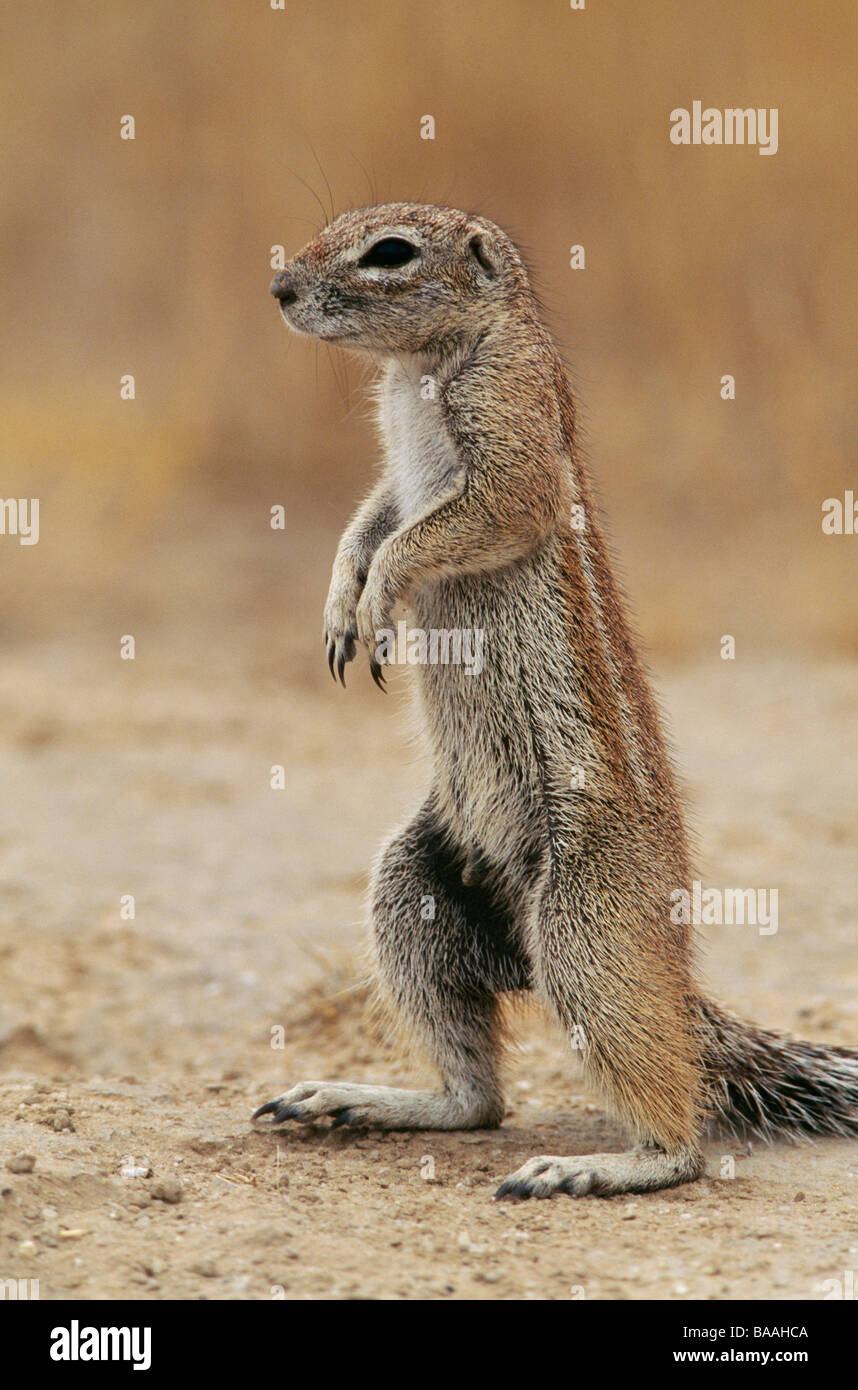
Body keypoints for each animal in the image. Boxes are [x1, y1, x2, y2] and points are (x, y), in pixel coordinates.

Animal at [255, 202, 858, 1198]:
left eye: (390, 253)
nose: (278, 289)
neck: (419, 368)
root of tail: (674, 973)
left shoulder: (512, 427)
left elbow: (450, 525)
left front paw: (378, 603)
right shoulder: (394, 465)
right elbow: (371, 519)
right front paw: (342, 603)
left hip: (584, 918)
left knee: (678, 1125)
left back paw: (605, 1166)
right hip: (409, 885)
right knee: (477, 1095)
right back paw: (364, 1098)